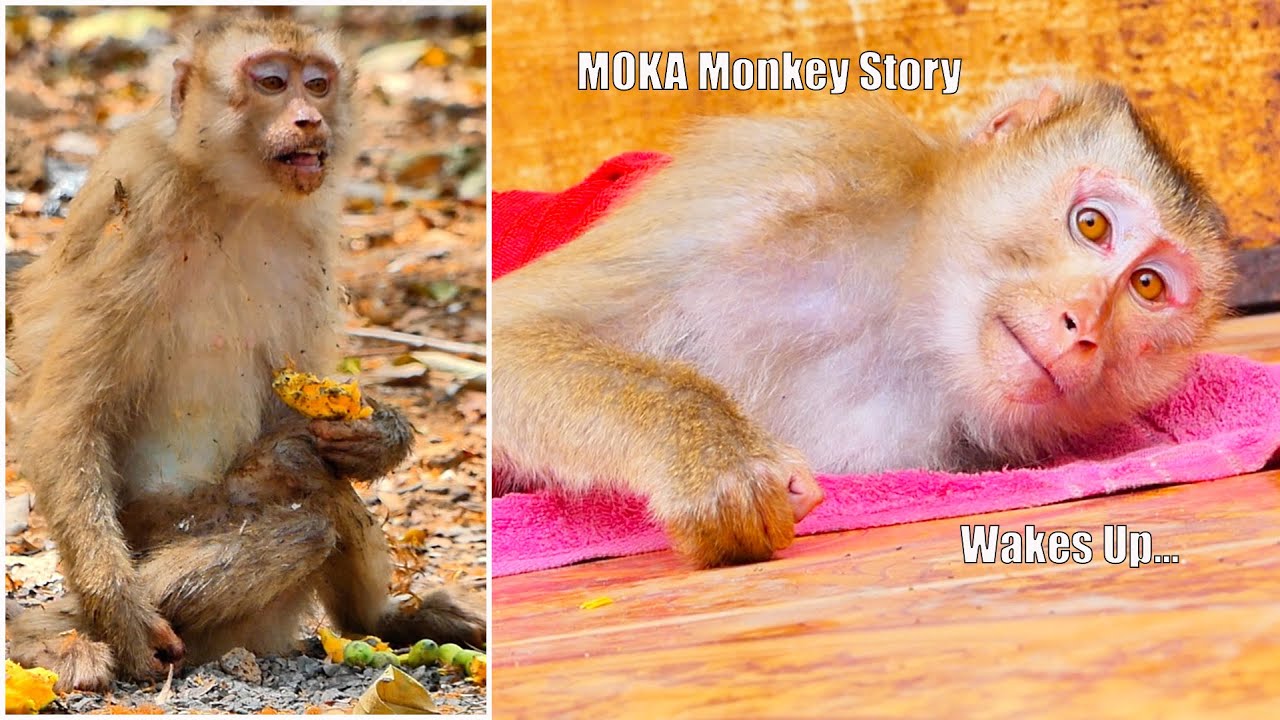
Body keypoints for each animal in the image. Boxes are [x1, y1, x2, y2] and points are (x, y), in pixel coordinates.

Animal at [5, 19, 484, 692]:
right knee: (303, 514)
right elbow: (66, 417)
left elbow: (298, 404)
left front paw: (376, 434)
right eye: (272, 83)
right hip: (161, 524)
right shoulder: (141, 207)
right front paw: (121, 609)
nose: (309, 118)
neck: (232, 196)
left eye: (317, 83)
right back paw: (84, 633)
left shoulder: (306, 239)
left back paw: (381, 620)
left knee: (312, 472)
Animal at [492, 76, 1234, 570]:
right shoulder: (797, 171)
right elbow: (514, 338)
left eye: (1146, 286)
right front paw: (719, 462)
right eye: (1092, 224)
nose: (1081, 326)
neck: (904, 310)